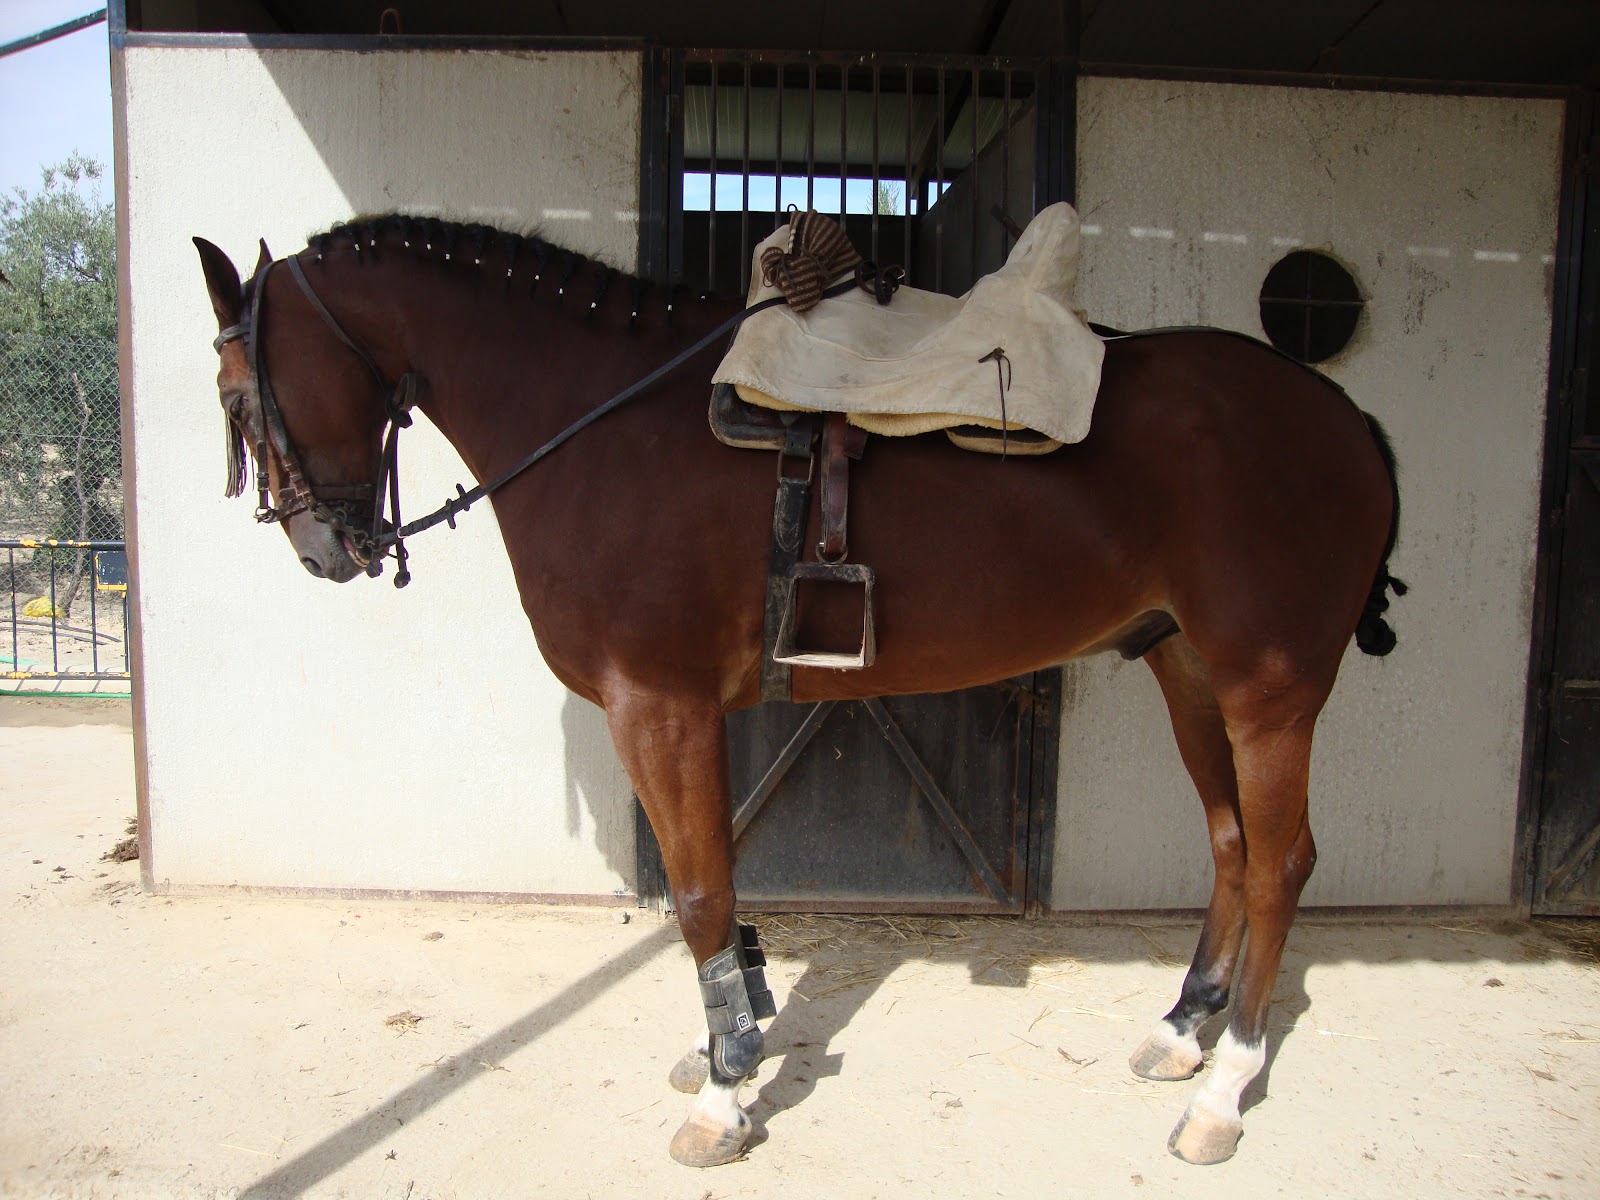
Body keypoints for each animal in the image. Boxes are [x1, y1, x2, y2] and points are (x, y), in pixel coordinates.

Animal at [193, 212, 1403, 1169]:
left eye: (238, 396)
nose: (320, 548)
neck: (603, 422)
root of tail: (1345, 419)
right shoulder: (671, 714)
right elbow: (714, 881)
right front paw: (728, 1037)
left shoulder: (657, 706)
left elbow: (696, 894)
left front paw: (727, 1092)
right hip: (1186, 667)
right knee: (1231, 845)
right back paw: (1183, 1033)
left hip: (1268, 687)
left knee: (1281, 864)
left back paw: (1224, 1089)